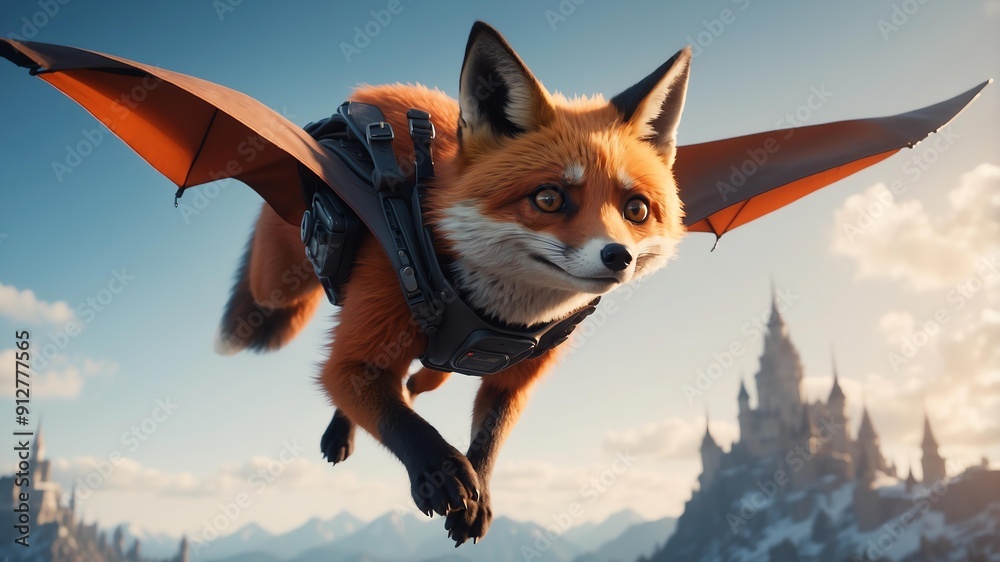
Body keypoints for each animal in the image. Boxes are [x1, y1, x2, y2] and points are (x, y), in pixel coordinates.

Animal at [215, 21, 690, 546]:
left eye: (636, 210)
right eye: (548, 199)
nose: (617, 256)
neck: (494, 313)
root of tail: (370, 92)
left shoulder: (514, 376)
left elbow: (488, 435)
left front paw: (476, 489)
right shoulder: (365, 333)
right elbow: (393, 415)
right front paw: (438, 472)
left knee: (414, 381)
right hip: (280, 284)